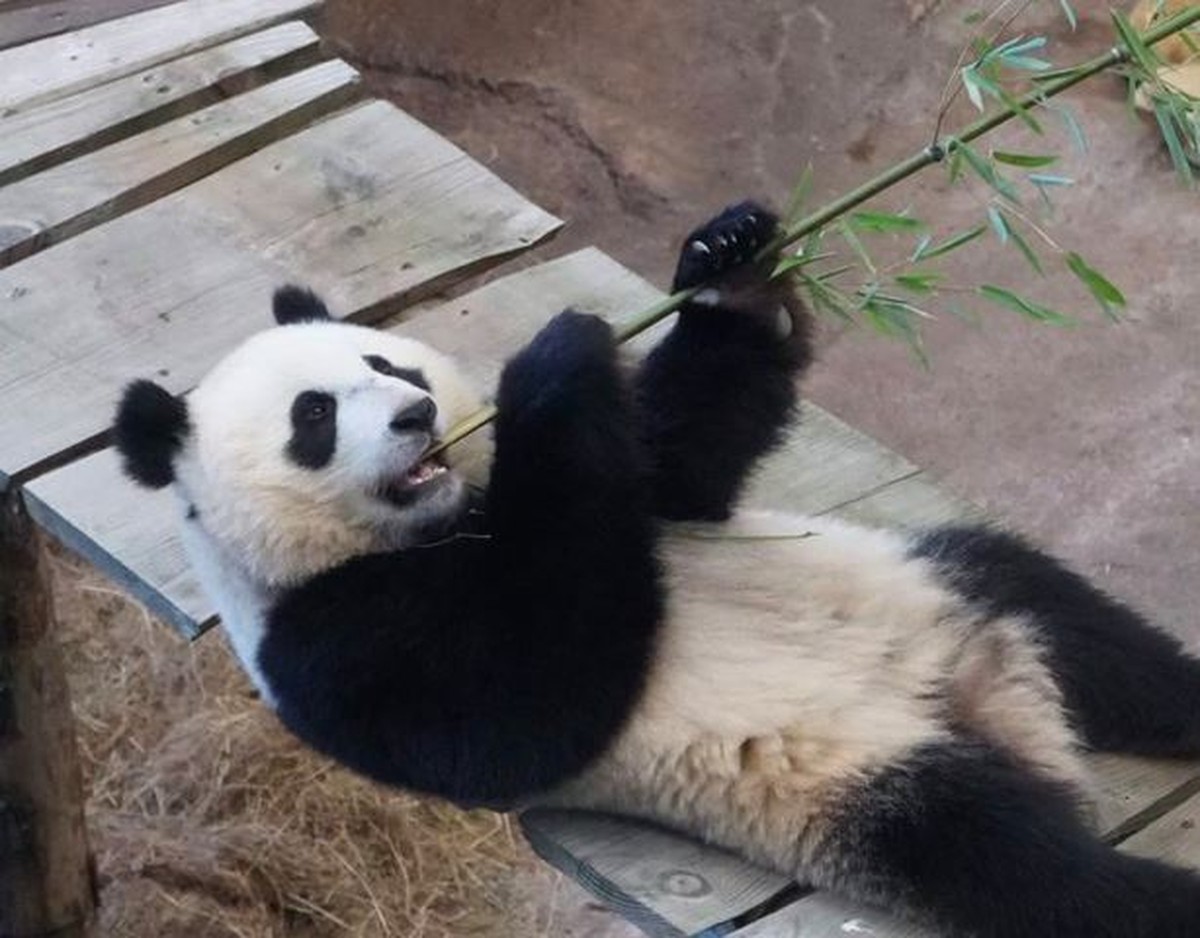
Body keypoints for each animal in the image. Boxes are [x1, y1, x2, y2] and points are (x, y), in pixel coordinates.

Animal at [114, 203, 1200, 937]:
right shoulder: (328, 645)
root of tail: (985, 707)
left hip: (942, 586)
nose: (418, 417)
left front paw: (729, 263)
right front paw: (552, 363)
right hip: (861, 783)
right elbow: (524, 705)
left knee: (1085, 628)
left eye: (389, 367)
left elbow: (680, 459)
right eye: (315, 417)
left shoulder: (647, 491)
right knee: (1020, 864)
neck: (442, 522)